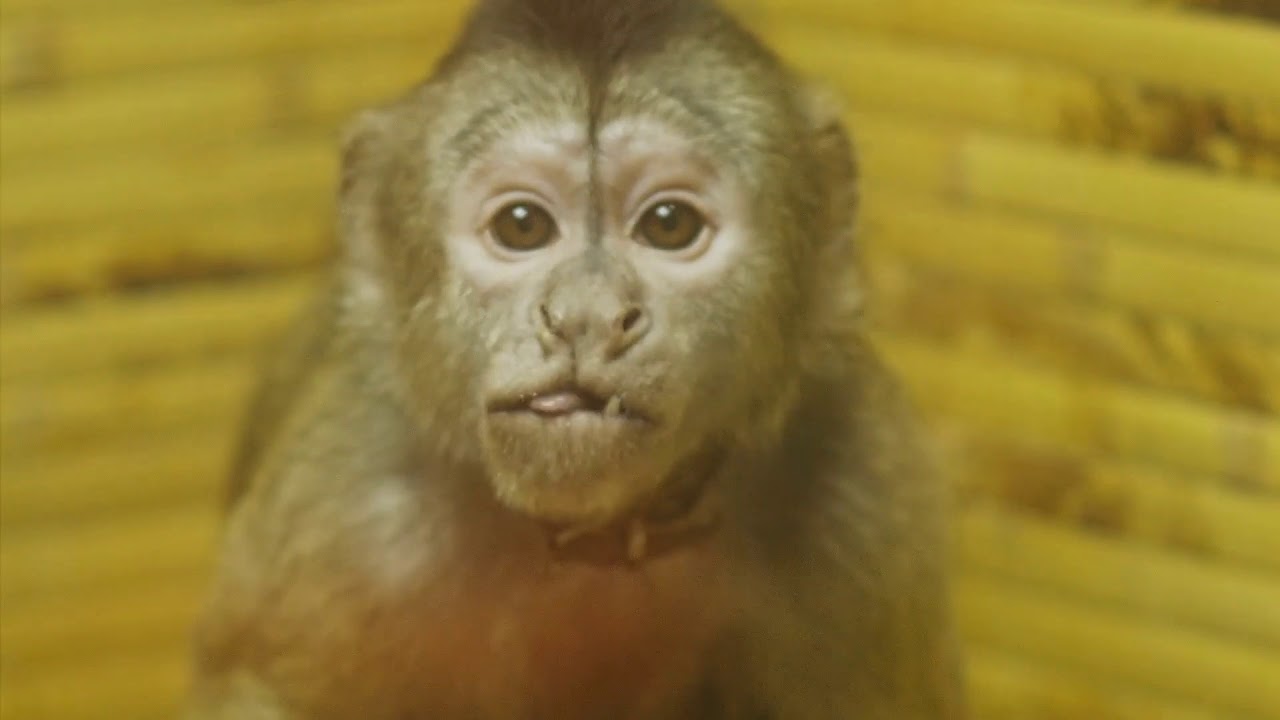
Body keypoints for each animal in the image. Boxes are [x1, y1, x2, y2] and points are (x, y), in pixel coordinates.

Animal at [185, 1, 965, 718]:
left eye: (669, 224)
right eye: (522, 226)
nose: (586, 317)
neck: (595, 540)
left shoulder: (861, 509)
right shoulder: (347, 519)